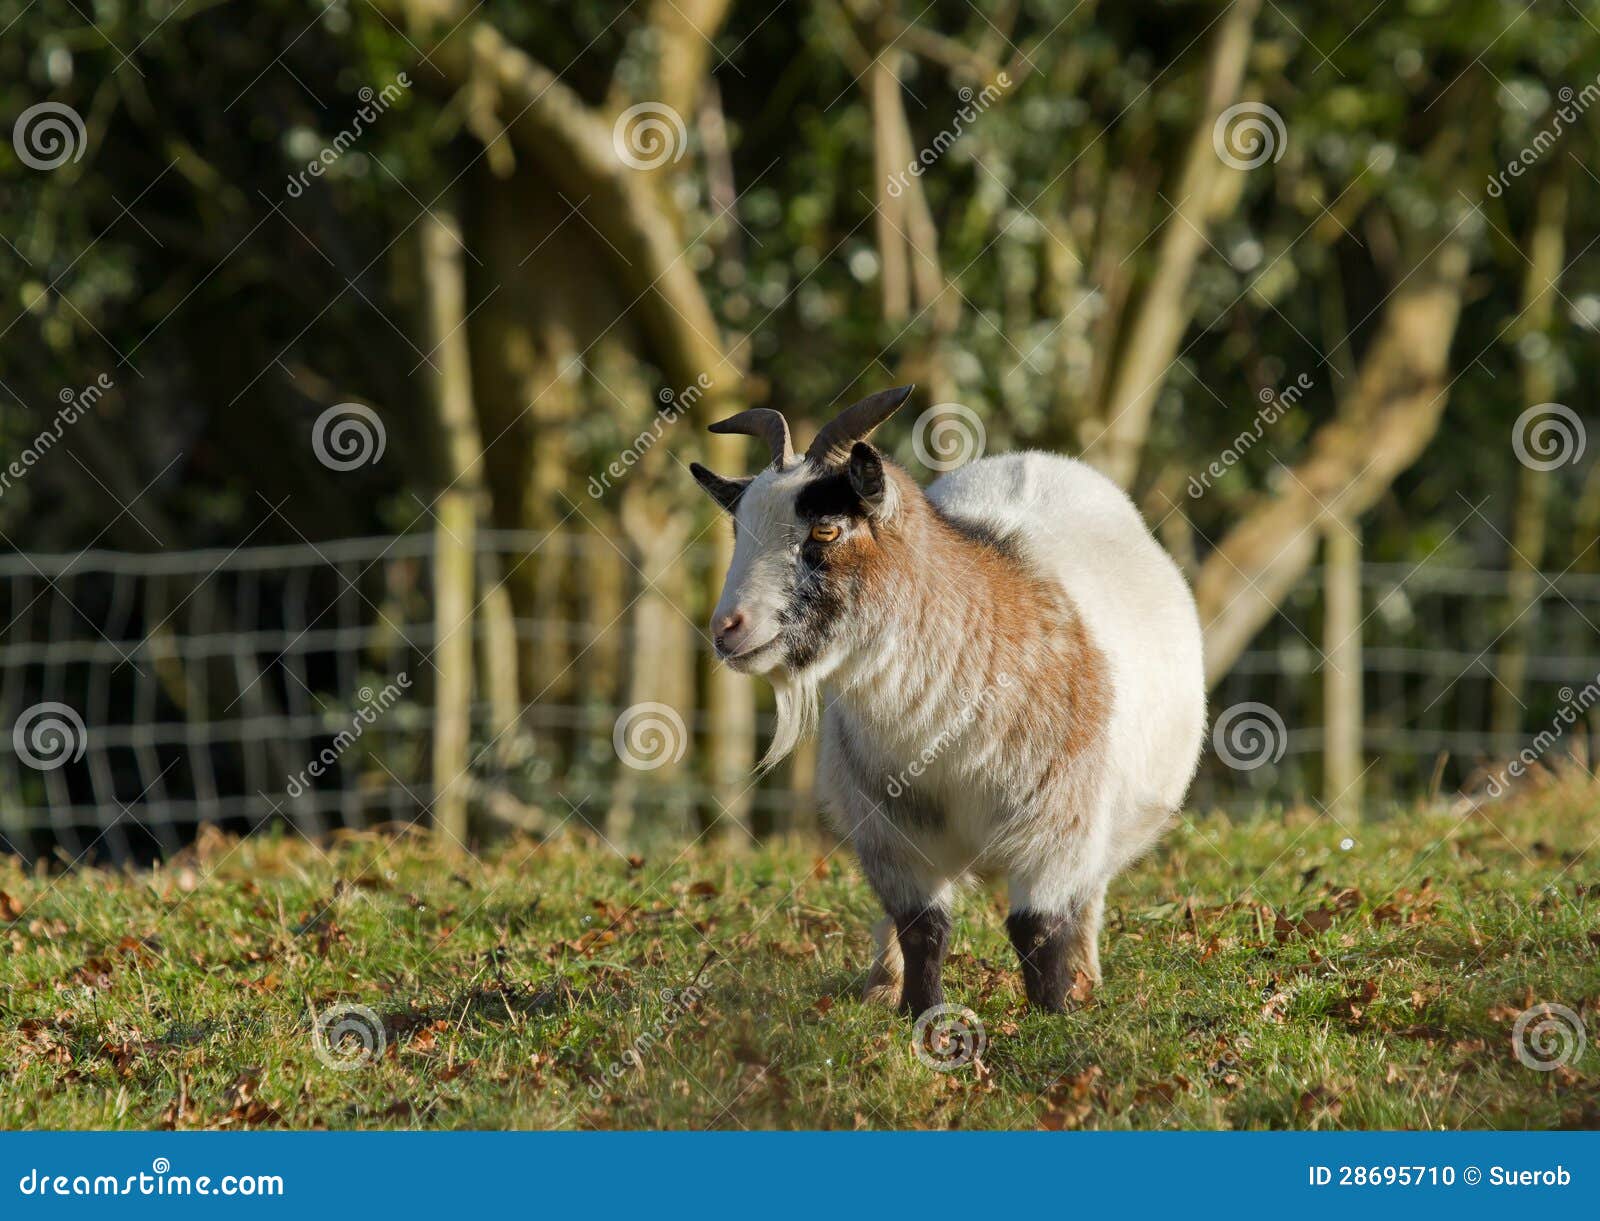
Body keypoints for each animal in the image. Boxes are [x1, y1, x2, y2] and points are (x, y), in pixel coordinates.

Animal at [690, 387, 1205, 1014]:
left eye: (825, 532)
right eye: (738, 530)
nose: (727, 629)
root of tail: (1034, 460)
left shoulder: (1059, 826)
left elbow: (1037, 928)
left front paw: (1055, 1011)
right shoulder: (888, 830)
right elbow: (921, 926)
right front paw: (922, 1011)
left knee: (1090, 893)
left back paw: (1085, 974)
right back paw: (881, 982)